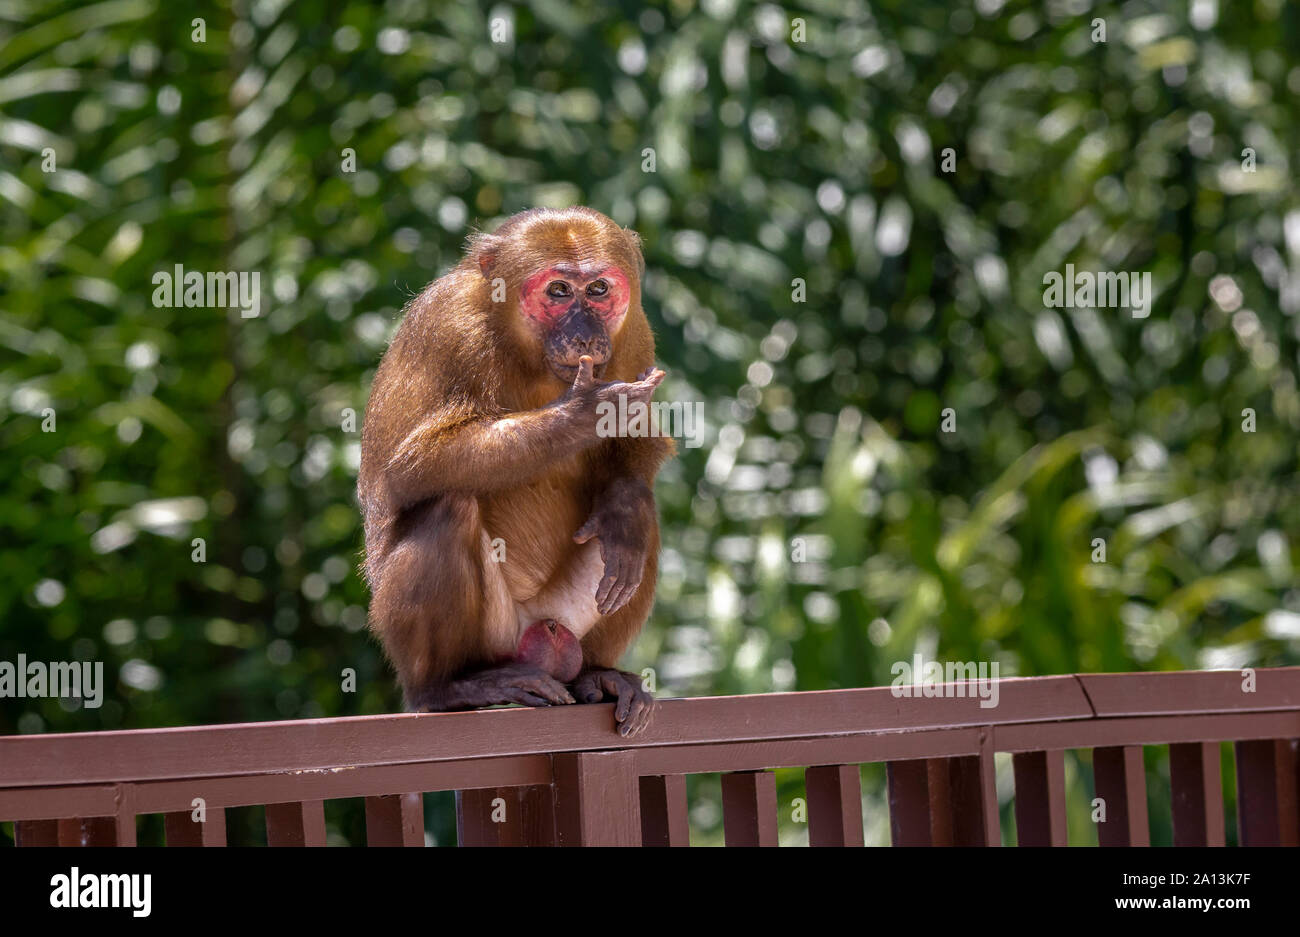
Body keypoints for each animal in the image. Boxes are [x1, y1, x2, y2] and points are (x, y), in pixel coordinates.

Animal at [358, 207, 672, 737]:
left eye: (599, 290)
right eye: (559, 291)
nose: (586, 335)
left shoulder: (635, 331)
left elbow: (640, 444)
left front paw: (623, 506)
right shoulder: (443, 323)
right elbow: (402, 472)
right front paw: (581, 414)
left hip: (566, 618)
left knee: (643, 523)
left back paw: (597, 672)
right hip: (495, 637)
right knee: (447, 506)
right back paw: (445, 688)